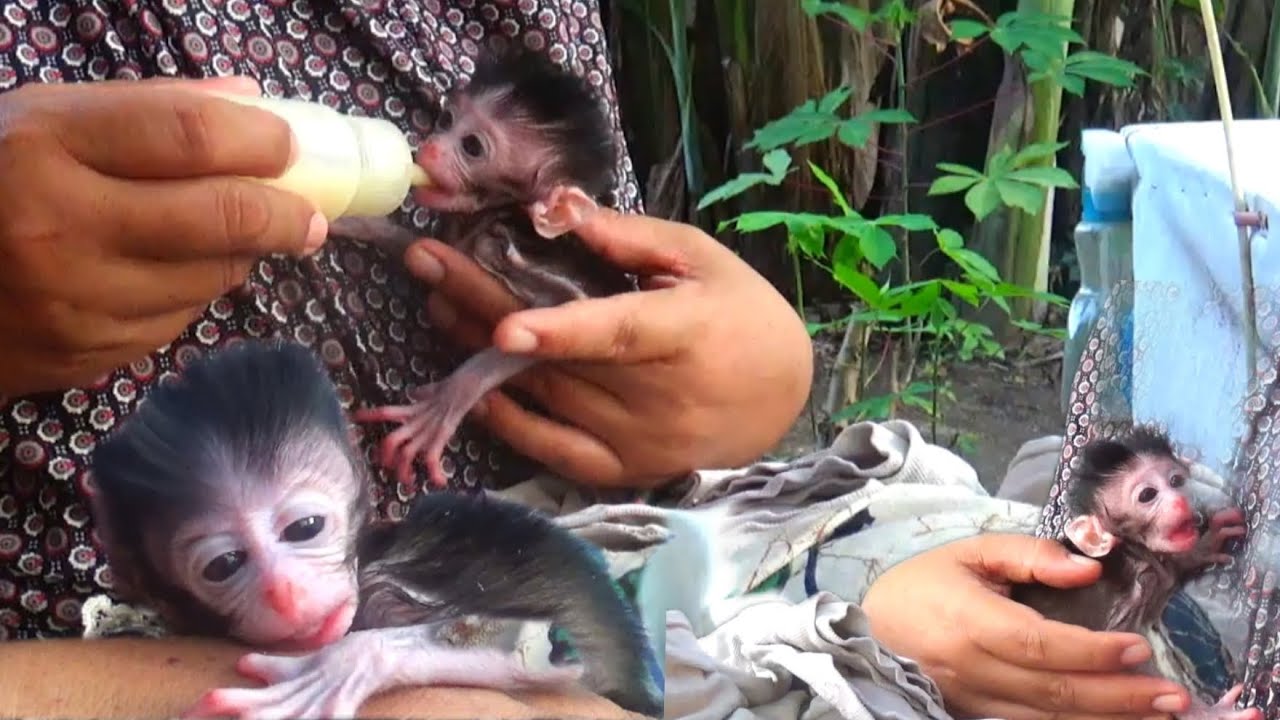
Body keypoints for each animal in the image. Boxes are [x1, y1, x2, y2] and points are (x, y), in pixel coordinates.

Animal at [86, 339, 664, 719]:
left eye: (305, 528)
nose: (283, 592)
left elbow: (559, 655)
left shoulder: (395, 585)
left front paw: (344, 665)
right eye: (224, 564)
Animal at [327, 48, 636, 488]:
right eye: (446, 120)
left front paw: (449, 399)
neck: (491, 214)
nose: (429, 149)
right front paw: (357, 220)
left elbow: (547, 323)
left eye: (472, 146)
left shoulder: (510, 248)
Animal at [1011, 425, 1259, 720]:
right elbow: (1127, 660)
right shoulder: (1129, 592)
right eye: (1147, 495)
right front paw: (1207, 712)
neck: (1135, 554)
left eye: (1176, 481)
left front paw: (1204, 545)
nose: (1179, 501)